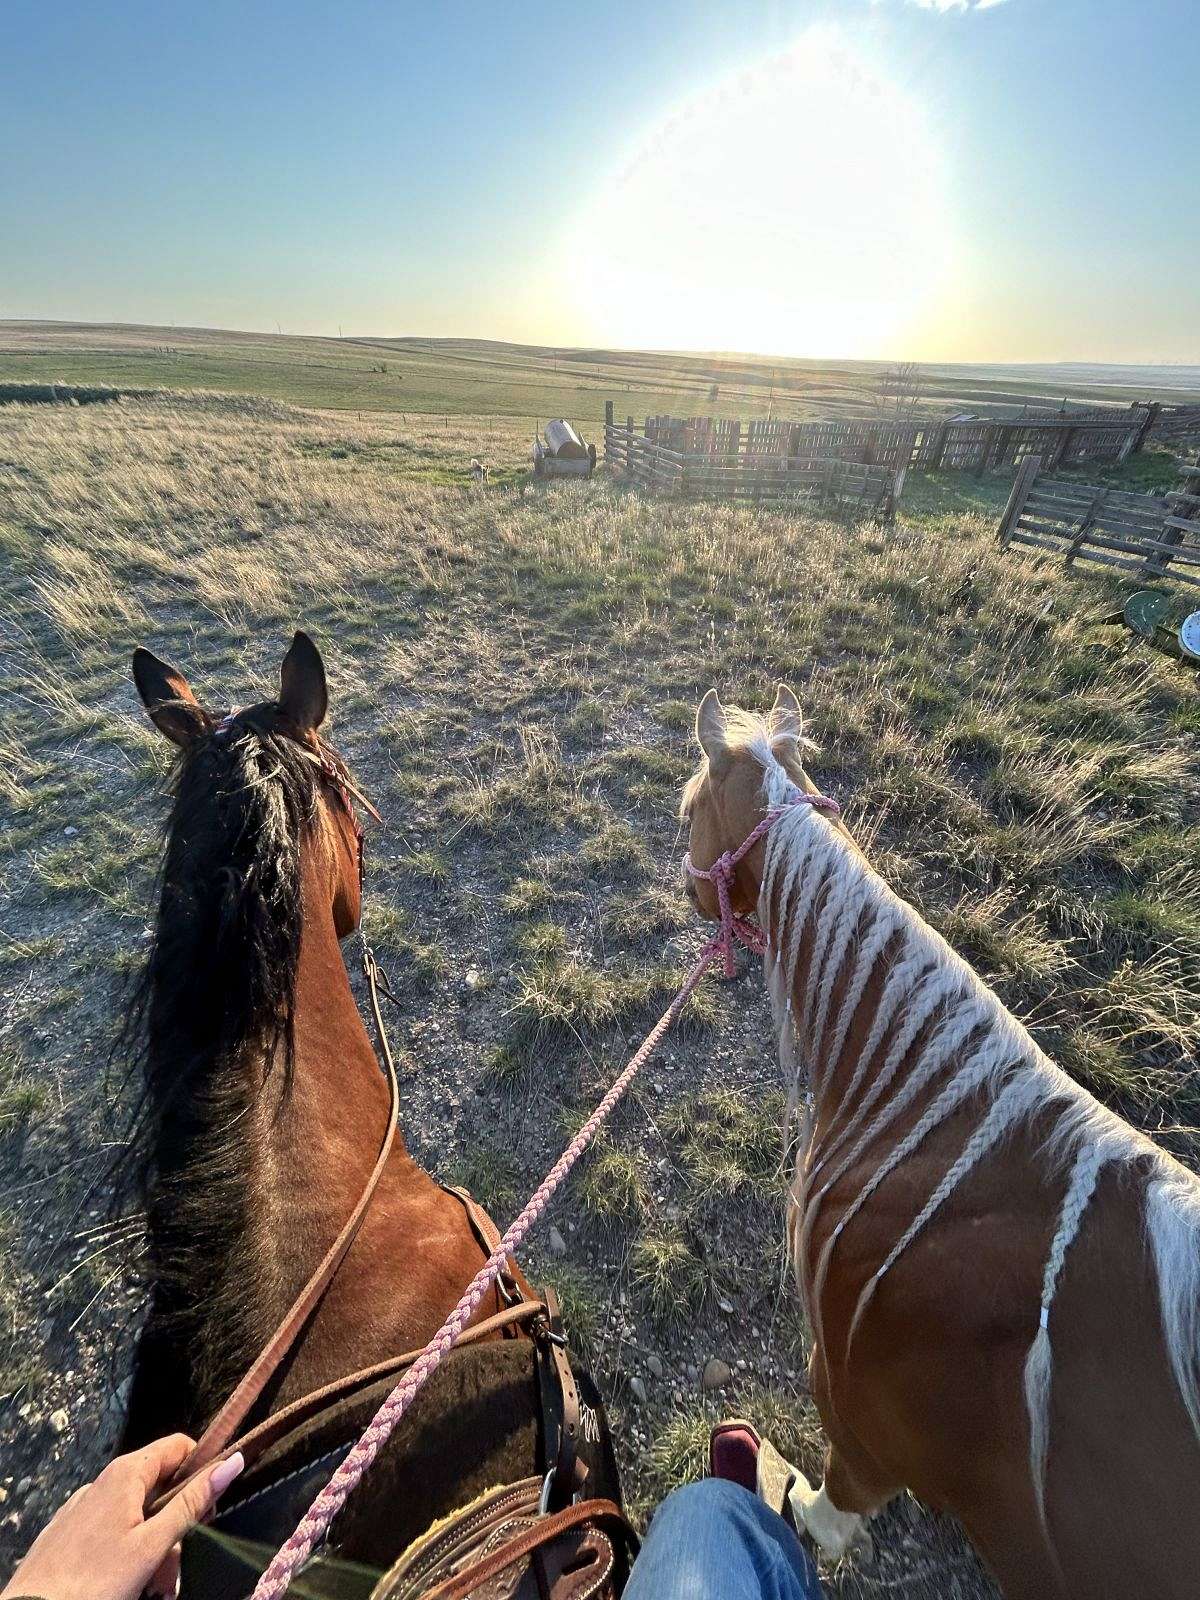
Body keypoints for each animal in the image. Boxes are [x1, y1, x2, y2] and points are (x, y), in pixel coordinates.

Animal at [679, 683, 1200, 1600]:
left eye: (689, 809)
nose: (683, 885)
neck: (924, 1115)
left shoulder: (855, 1415)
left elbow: (833, 1510)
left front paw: (794, 1507)